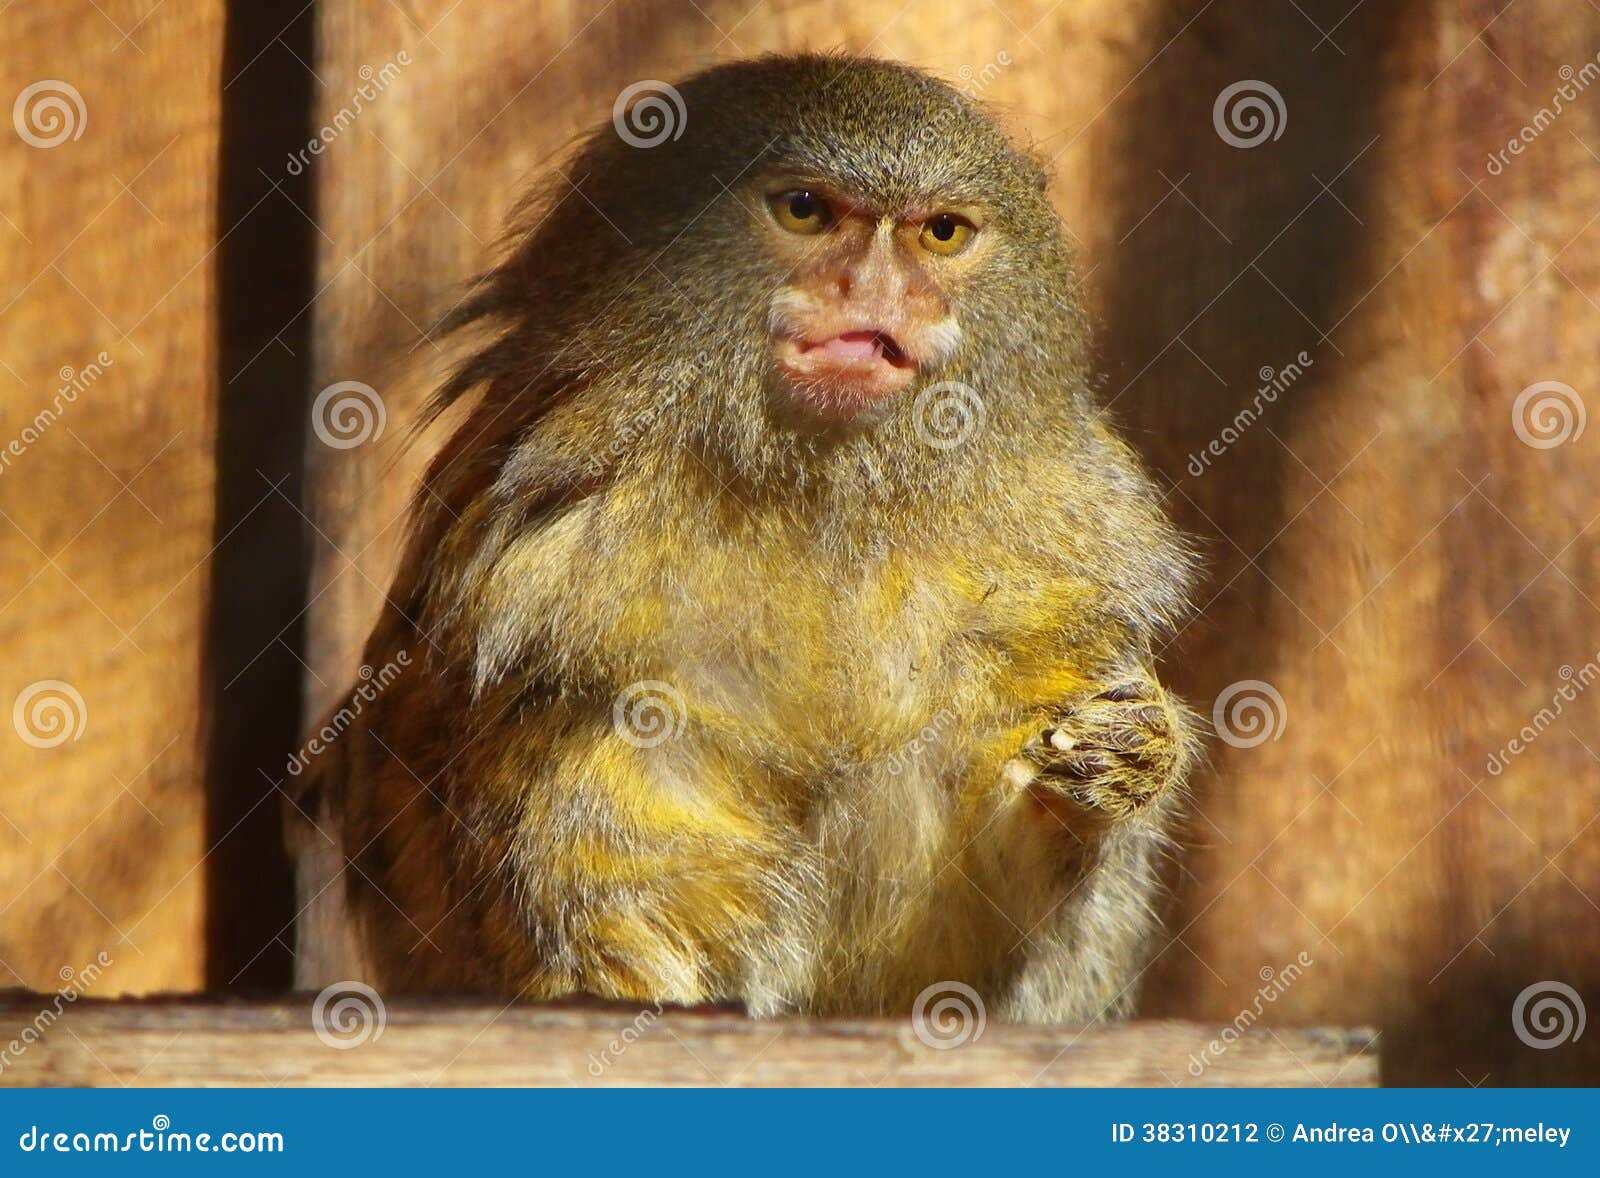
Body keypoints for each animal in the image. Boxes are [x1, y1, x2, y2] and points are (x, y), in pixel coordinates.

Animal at [287, 53, 1200, 1025]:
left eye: (942, 233)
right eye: (805, 210)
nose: (877, 294)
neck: (833, 501)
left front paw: (1125, 758)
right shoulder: (556, 583)